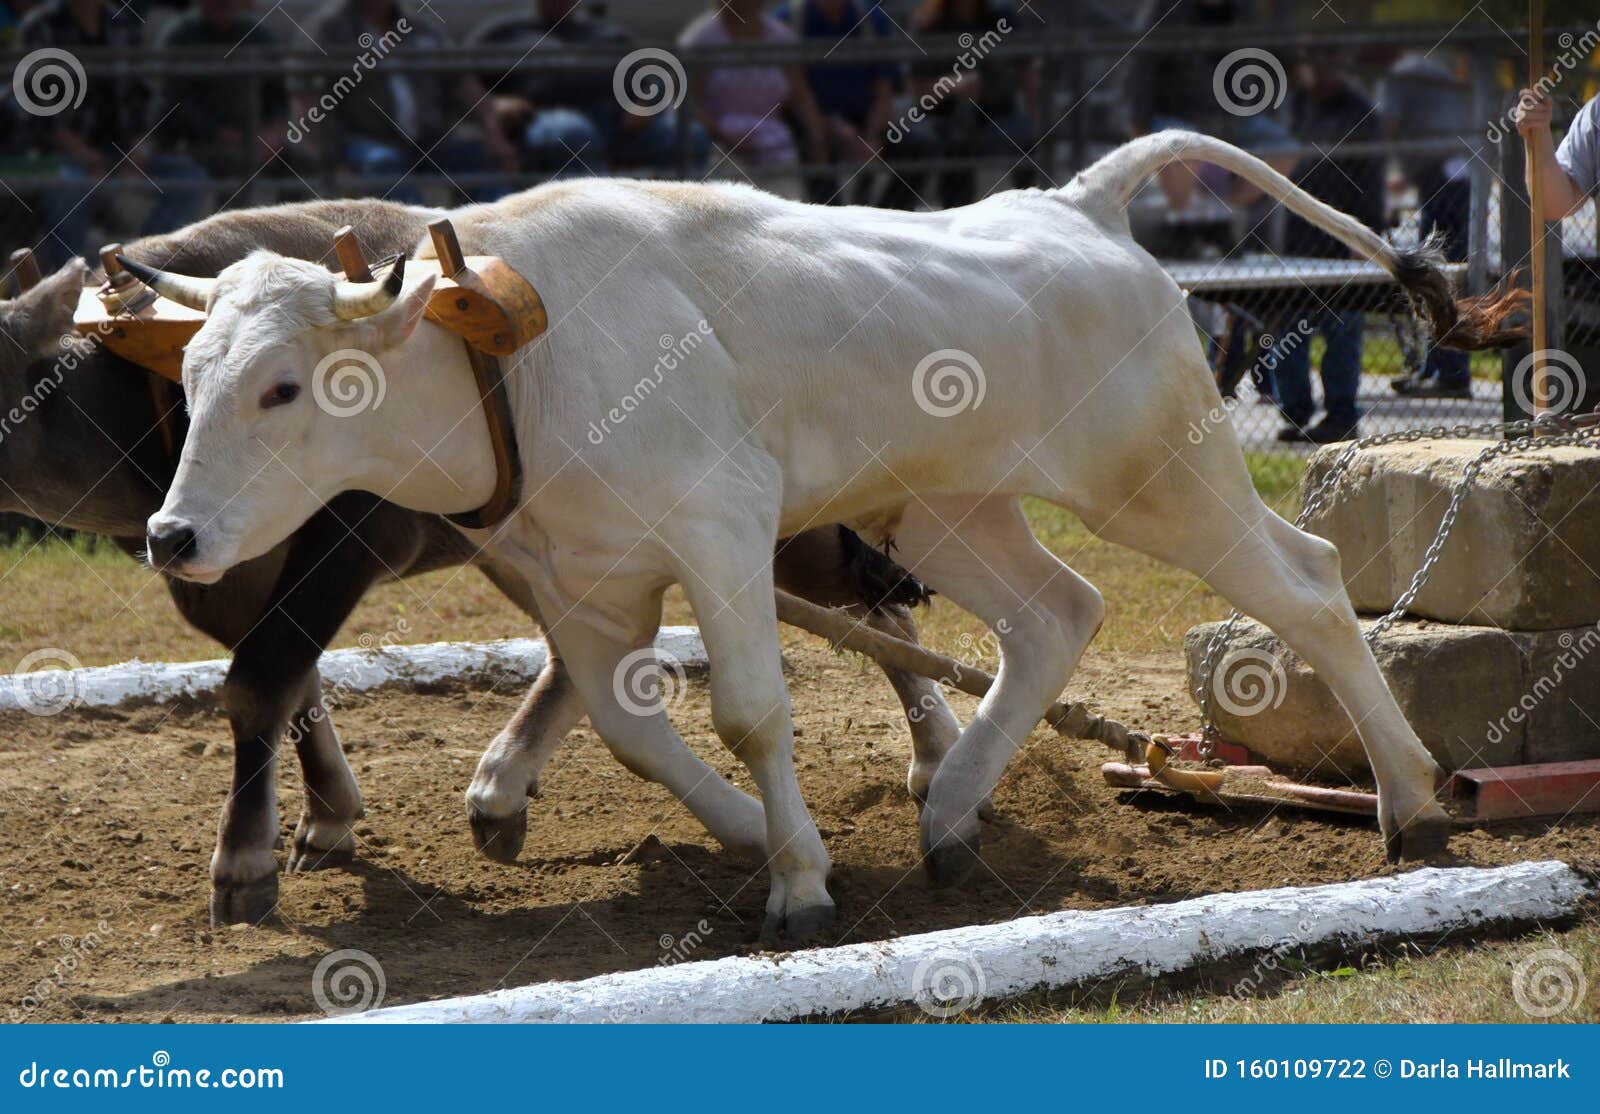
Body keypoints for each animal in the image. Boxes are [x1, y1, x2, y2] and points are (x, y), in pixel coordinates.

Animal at [1, 203, 959, 927]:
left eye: (280, 388)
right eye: (191, 374)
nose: (167, 536)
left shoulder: (348, 537)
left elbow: (261, 680)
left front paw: (243, 865)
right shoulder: (229, 571)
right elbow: (288, 682)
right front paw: (327, 814)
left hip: (783, 531)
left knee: (880, 611)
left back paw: (939, 756)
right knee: (583, 660)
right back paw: (503, 791)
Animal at [129, 132, 1526, 937]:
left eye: (285, 387)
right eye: (188, 377)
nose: (173, 535)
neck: (507, 358)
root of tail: (1074, 204)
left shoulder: (721, 528)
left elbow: (749, 709)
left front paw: (797, 882)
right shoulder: (581, 587)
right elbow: (634, 729)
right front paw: (757, 839)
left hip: (1161, 479)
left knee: (1306, 585)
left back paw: (1412, 801)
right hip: (950, 508)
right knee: (1054, 613)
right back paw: (950, 812)